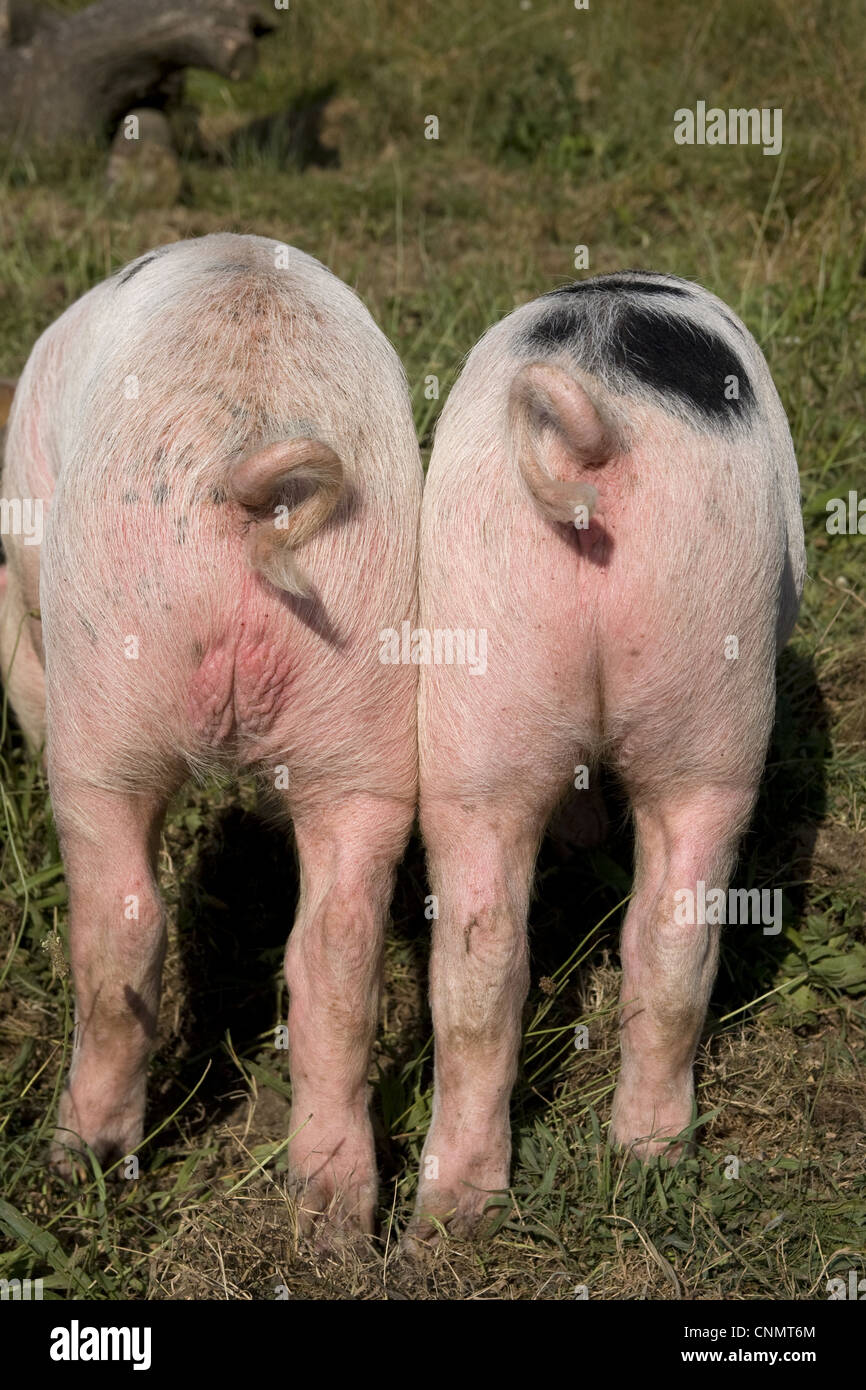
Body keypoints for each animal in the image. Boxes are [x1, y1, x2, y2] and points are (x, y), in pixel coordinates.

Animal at [0, 233, 422, 1237]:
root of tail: (250, 476)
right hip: (369, 683)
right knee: (335, 947)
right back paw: (333, 1224)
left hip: (107, 671)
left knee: (122, 922)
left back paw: (79, 1161)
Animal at [414, 270, 805, 1237]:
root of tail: (592, 439)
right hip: (715, 654)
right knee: (674, 924)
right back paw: (651, 1159)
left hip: (486, 665)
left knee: (489, 956)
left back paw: (458, 1216)